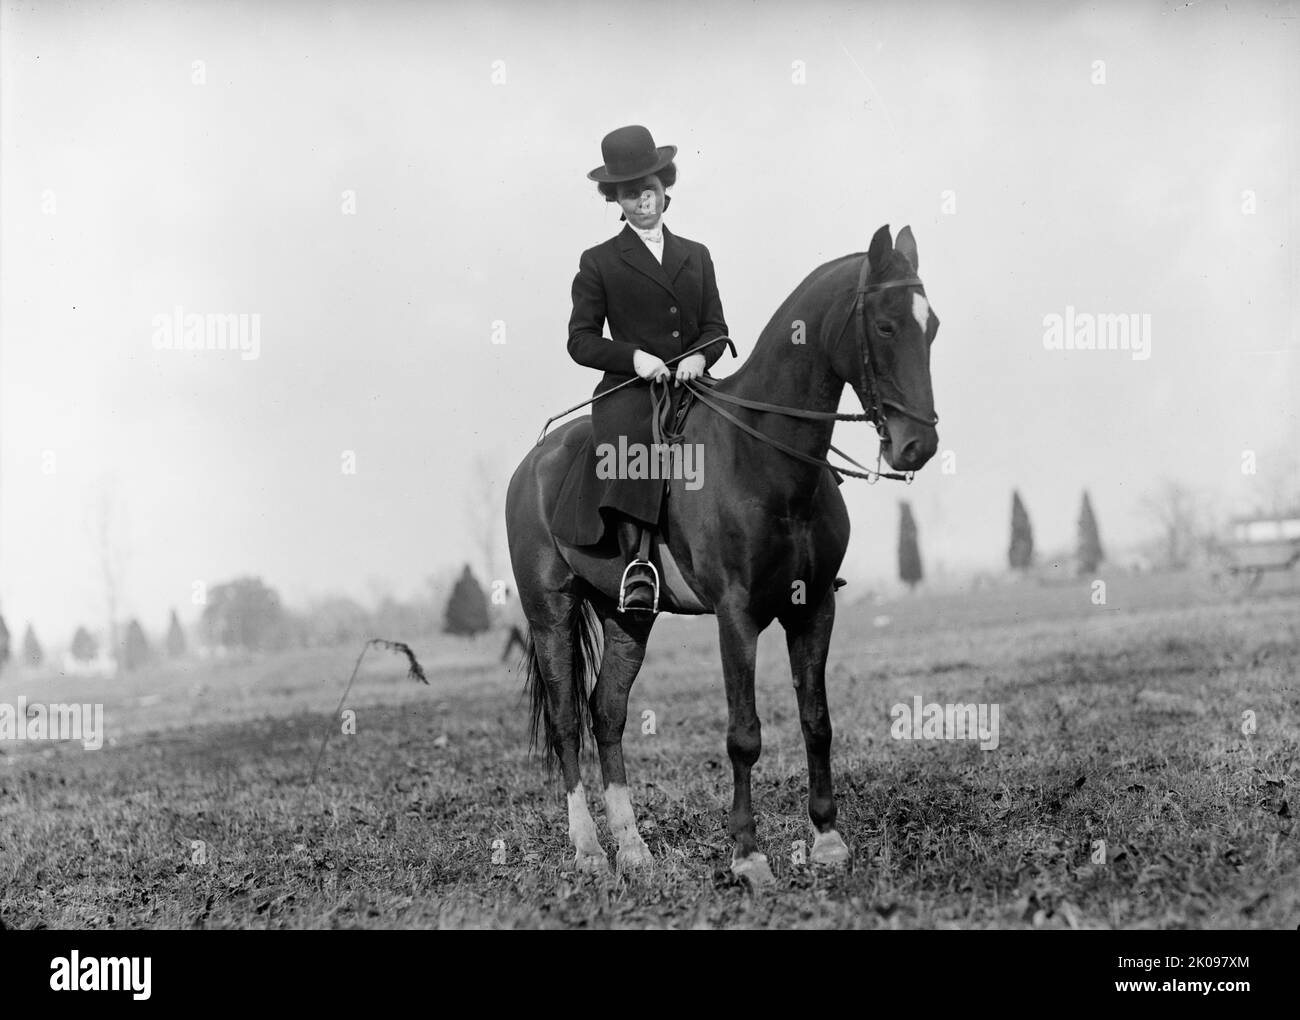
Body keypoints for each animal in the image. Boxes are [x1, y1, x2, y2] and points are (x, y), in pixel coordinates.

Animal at [505, 224, 939, 884]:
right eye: (886, 327)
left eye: (931, 325)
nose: (919, 445)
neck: (768, 458)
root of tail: (532, 461)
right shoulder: (737, 616)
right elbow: (745, 734)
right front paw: (748, 856)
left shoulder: (814, 609)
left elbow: (817, 722)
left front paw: (829, 841)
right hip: (550, 611)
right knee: (566, 722)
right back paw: (589, 850)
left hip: (627, 616)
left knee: (606, 712)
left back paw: (633, 847)